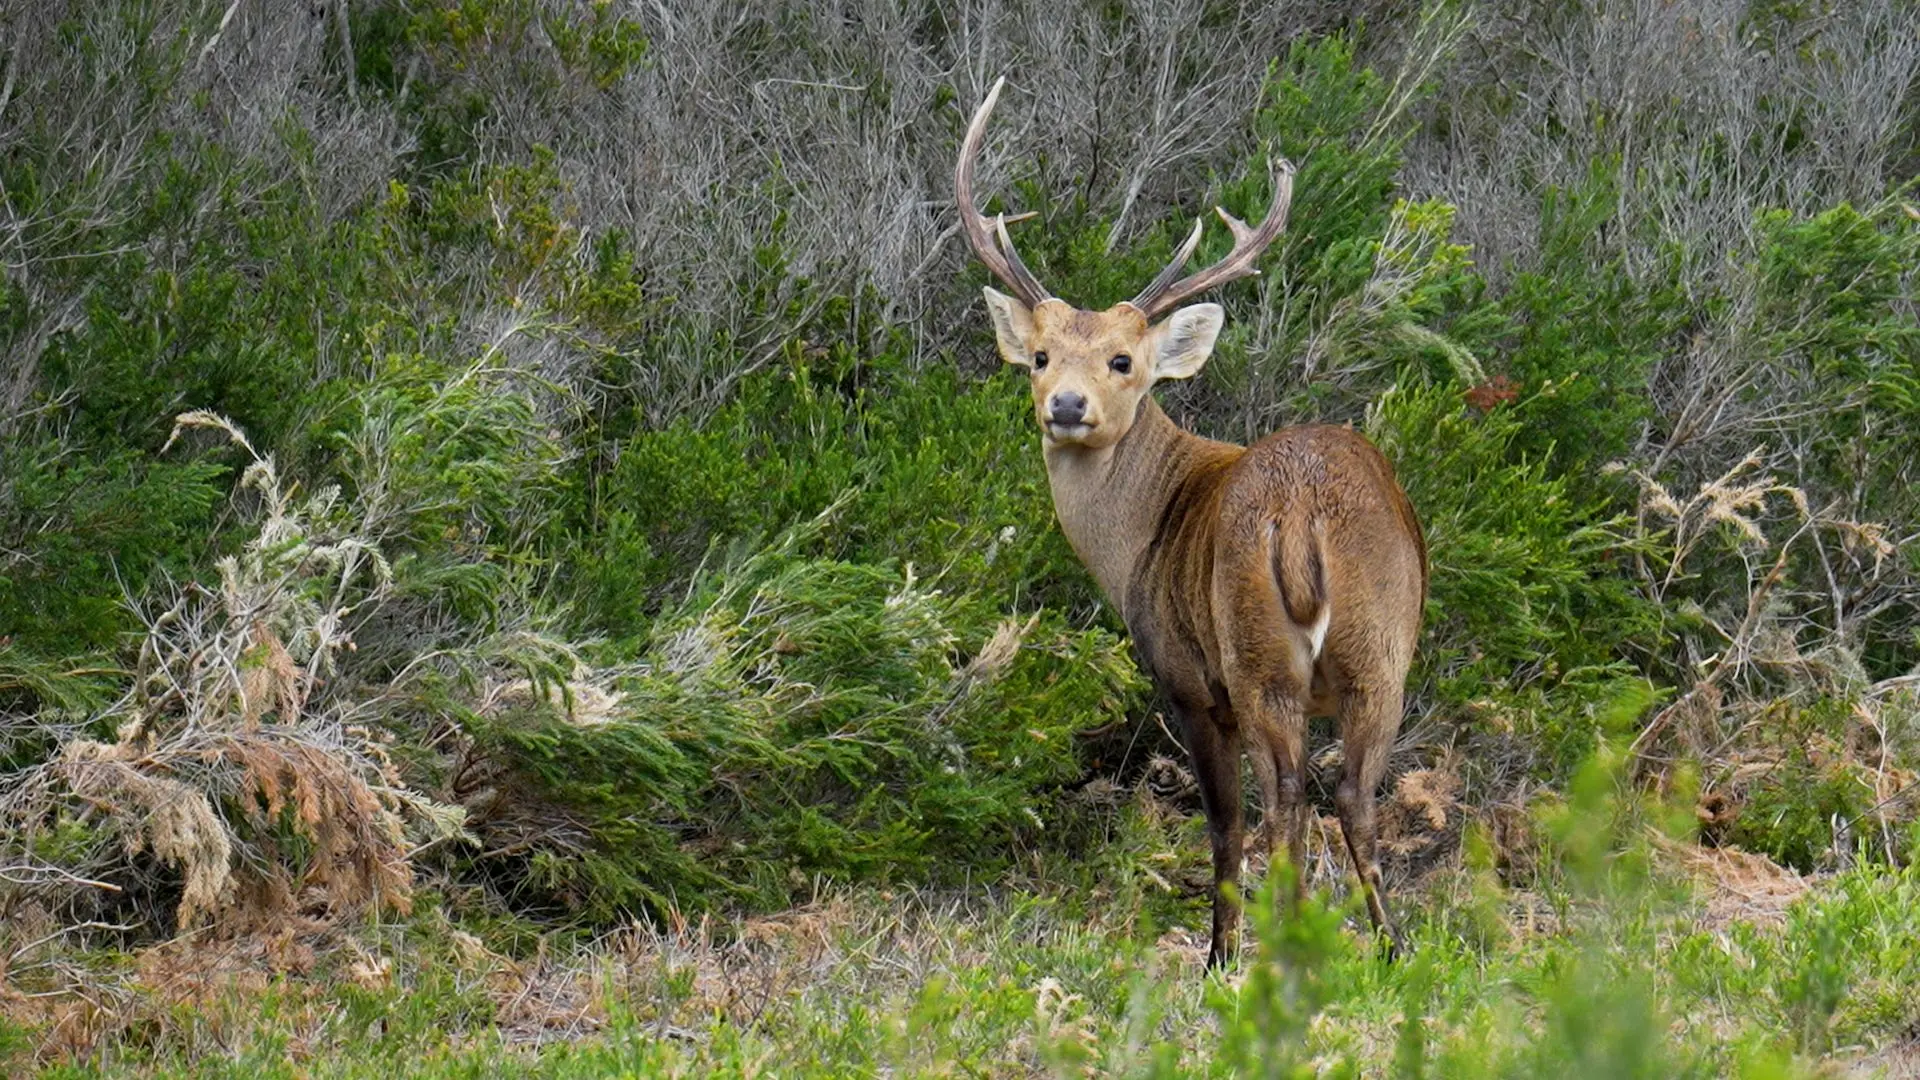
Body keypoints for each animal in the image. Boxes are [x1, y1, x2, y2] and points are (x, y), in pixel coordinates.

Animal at [956, 79, 1428, 967]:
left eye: (1123, 361)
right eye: (1039, 356)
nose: (1065, 405)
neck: (1141, 533)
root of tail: (1300, 514)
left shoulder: (1185, 679)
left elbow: (1222, 823)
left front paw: (1218, 958)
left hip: (1253, 653)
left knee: (1282, 797)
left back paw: (1278, 951)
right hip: (1382, 645)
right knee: (1351, 790)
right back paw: (1388, 950)